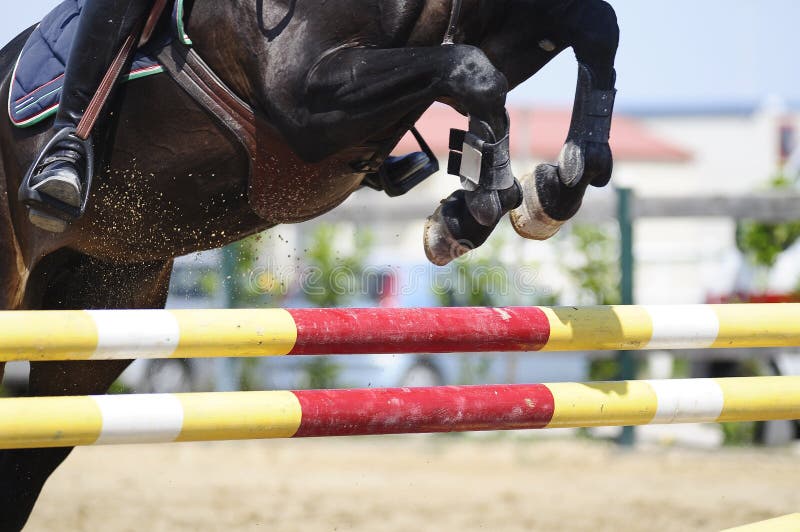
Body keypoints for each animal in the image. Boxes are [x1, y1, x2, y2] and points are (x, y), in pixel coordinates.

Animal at [0, 0, 618, 528]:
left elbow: (591, 27)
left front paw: (546, 190)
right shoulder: (303, 94)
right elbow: (474, 70)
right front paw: (487, 199)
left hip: (97, 311)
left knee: (29, 463)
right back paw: (62, 169)